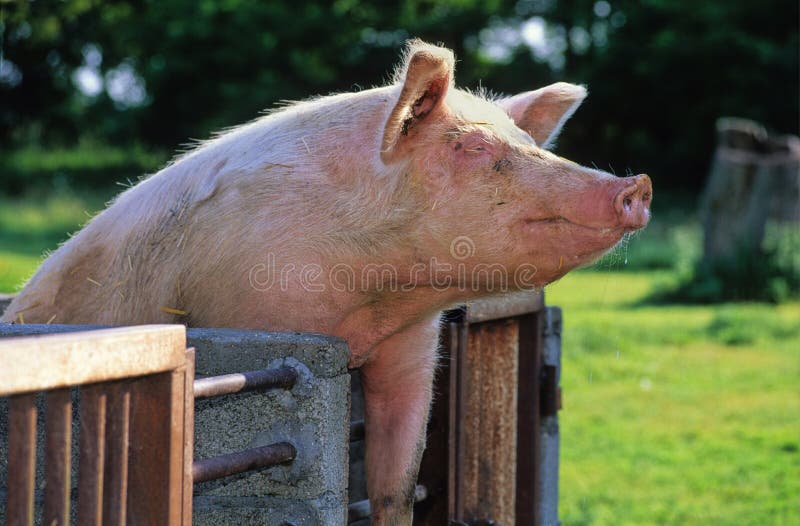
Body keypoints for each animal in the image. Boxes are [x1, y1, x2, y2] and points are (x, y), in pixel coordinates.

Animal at [2, 40, 651, 524]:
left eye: (526, 144)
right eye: (470, 145)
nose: (636, 184)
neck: (378, 301)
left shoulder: (411, 346)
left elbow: (397, 482)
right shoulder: (261, 315)